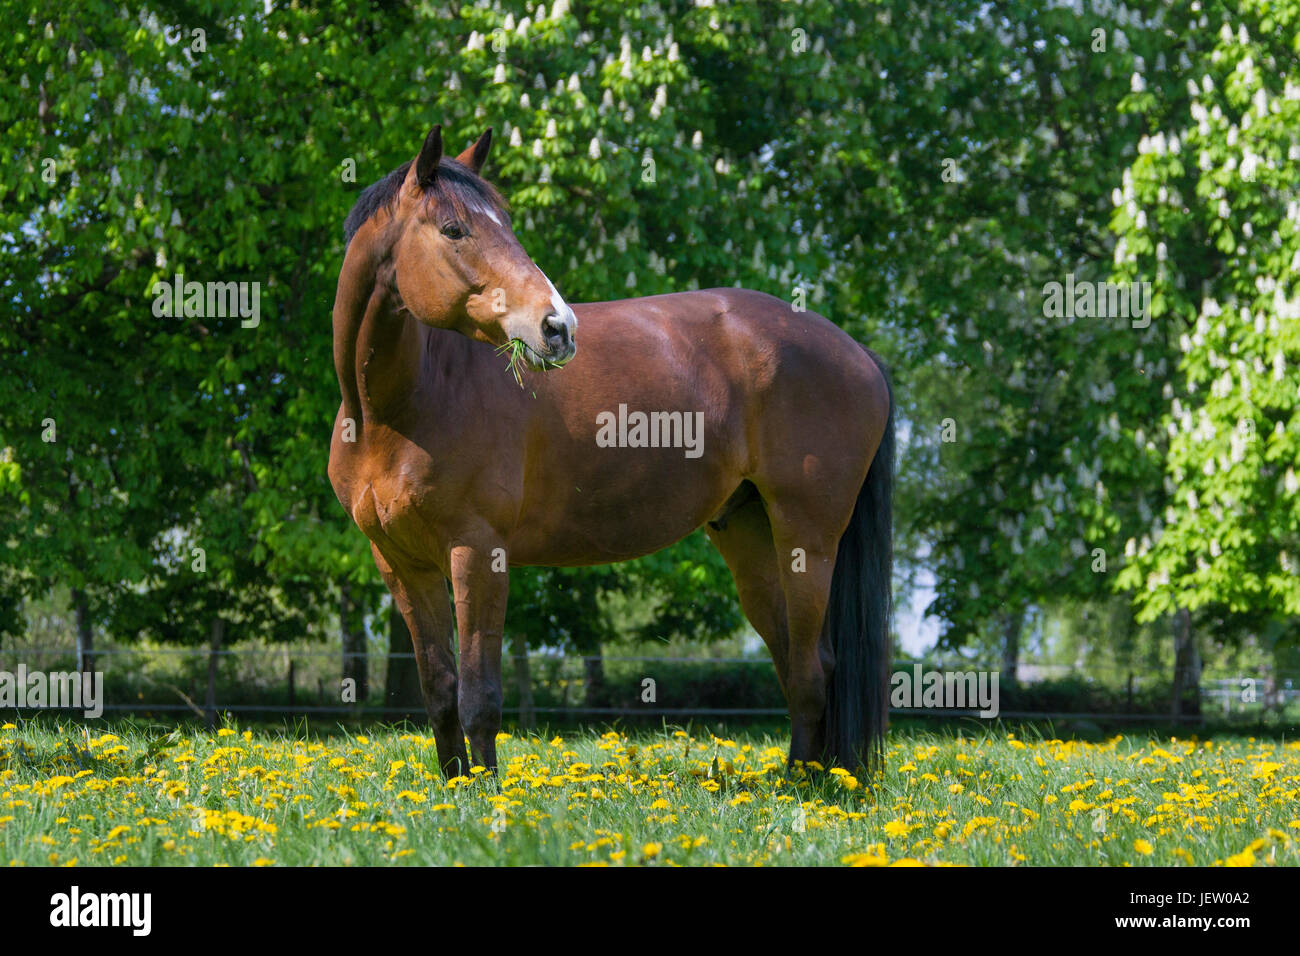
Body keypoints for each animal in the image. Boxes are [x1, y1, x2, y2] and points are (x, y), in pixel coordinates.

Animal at [328, 125, 895, 778]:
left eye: (507, 225)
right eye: (453, 229)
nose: (557, 328)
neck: (398, 409)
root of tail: (857, 352)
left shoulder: (477, 551)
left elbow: (479, 695)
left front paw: (486, 793)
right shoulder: (400, 561)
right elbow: (440, 690)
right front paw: (451, 787)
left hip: (808, 537)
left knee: (811, 670)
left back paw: (806, 787)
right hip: (750, 535)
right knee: (796, 664)